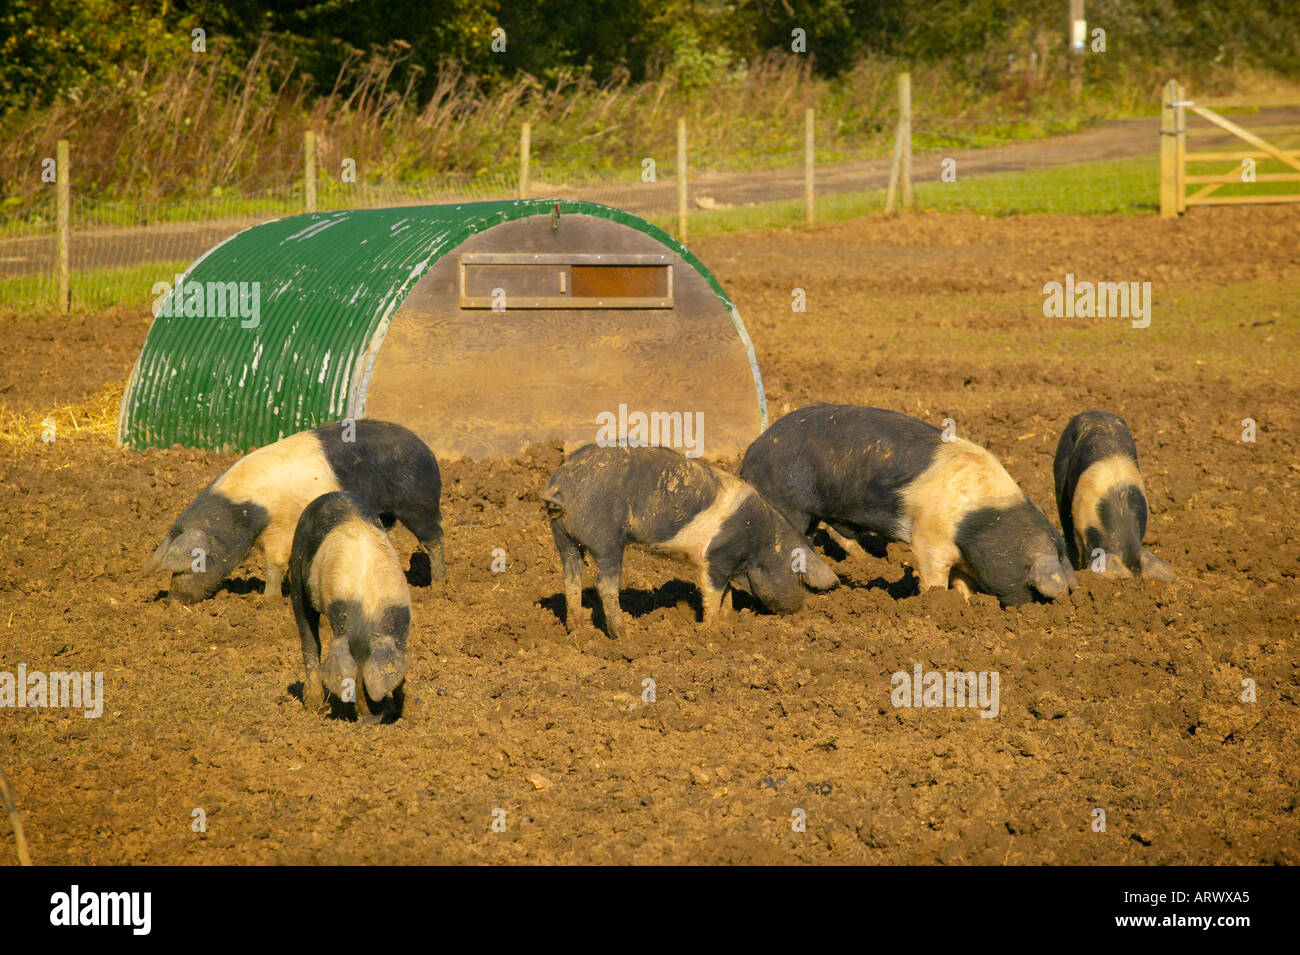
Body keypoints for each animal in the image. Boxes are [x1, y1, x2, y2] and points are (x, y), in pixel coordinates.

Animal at [144, 419, 444, 603]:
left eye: (195, 562)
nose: (172, 600)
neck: (246, 512)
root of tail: (427, 450)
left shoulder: (281, 527)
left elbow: (274, 563)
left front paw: (269, 599)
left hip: (418, 502)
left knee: (434, 538)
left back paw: (439, 585)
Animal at [290, 491, 411, 721]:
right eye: (350, 685)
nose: (369, 721)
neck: (367, 609)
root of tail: (330, 494)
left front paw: (406, 712)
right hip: (297, 573)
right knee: (308, 639)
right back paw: (315, 706)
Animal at [541, 444, 839, 639]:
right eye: (800, 577)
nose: (800, 609)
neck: (758, 543)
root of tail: (561, 484)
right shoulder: (717, 556)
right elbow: (713, 592)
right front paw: (710, 629)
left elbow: (727, 593)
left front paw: (728, 621)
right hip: (606, 538)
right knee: (605, 583)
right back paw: (624, 635)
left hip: (563, 537)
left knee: (571, 579)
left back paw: (577, 631)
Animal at [739, 404, 1078, 606]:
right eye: (1032, 586)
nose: (1032, 611)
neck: (977, 521)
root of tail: (751, 453)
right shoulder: (928, 539)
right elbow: (934, 577)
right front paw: (934, 603)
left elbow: (963, 581)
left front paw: (966, 603)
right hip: (788, 503)